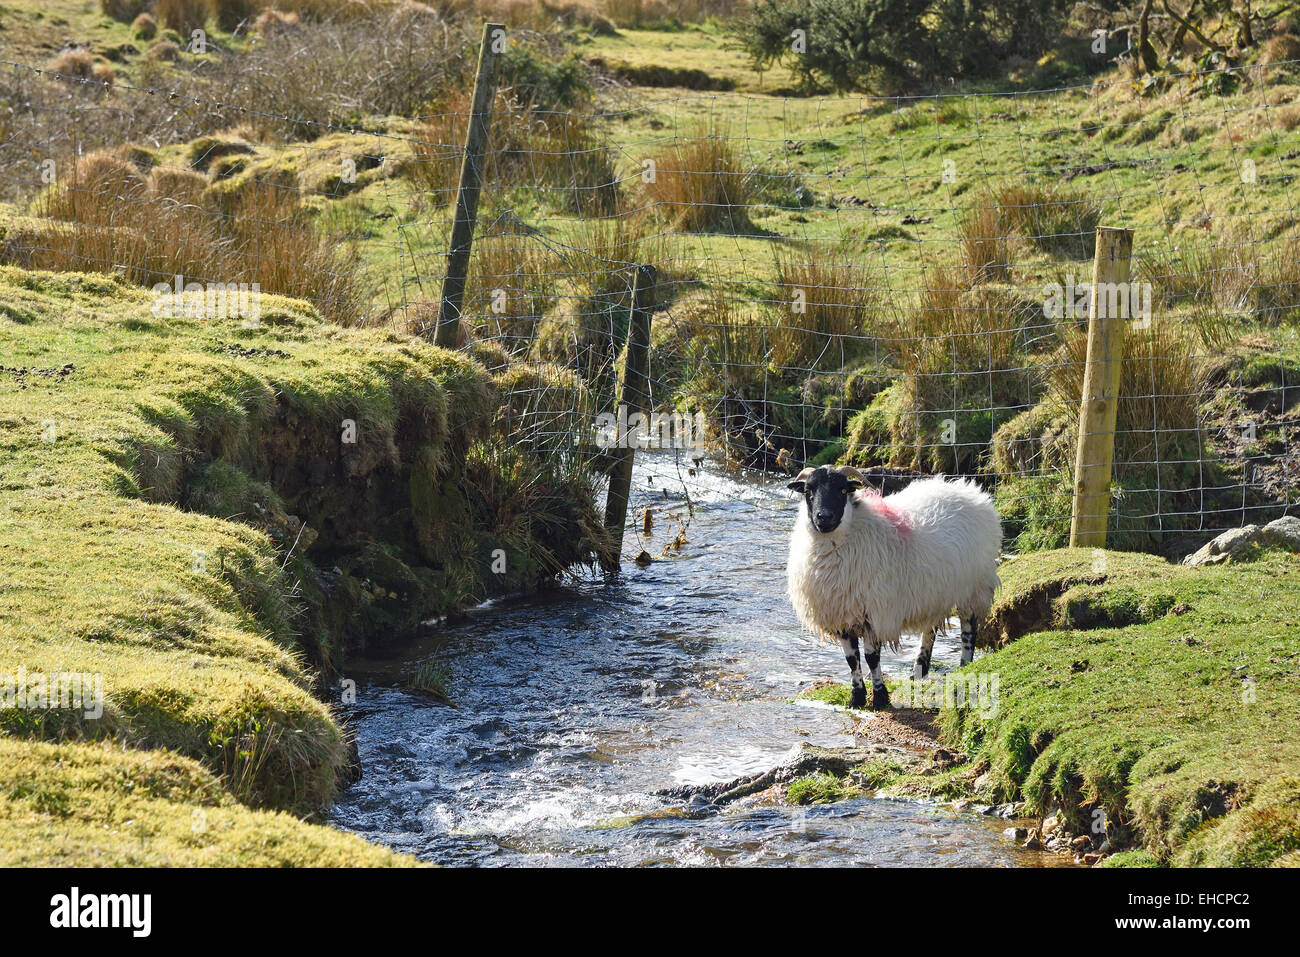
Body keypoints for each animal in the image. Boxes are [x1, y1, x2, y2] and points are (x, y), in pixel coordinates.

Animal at [786, 465, 1002, 710]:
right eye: (808, 491)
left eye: (842, 490)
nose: (824, 518)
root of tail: (973, 492)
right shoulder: (843, 614)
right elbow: (851, 660)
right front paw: (856, 698)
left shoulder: (874, 612)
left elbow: (871, 658)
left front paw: (880, 697)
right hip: (935, 592)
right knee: (930, 629)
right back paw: (918, 671)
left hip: (974, 587)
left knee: (969, 629)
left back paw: (965, 666)